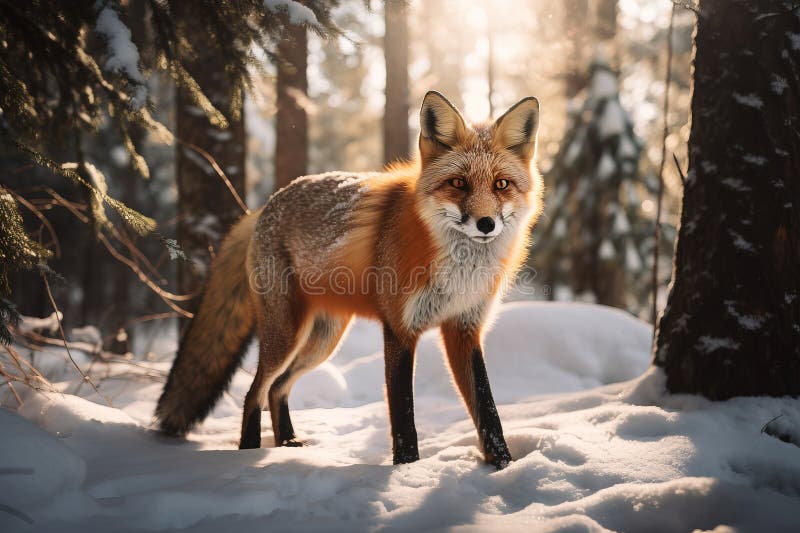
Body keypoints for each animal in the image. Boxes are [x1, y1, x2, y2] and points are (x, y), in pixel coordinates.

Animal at [156, 91, 543, 469]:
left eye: (501, 184)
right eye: (458, 183)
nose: (486, 224)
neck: (459, 269)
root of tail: (266, 204)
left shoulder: (464, 327)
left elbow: (488, 410)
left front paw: (504, 466)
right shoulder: (400, 328)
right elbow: (403, 416)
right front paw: (406, 469)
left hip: (323, 340)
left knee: (277, 389)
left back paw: (286, 444)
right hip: (286, 334)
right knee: (256, 392)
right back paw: (247, 454)